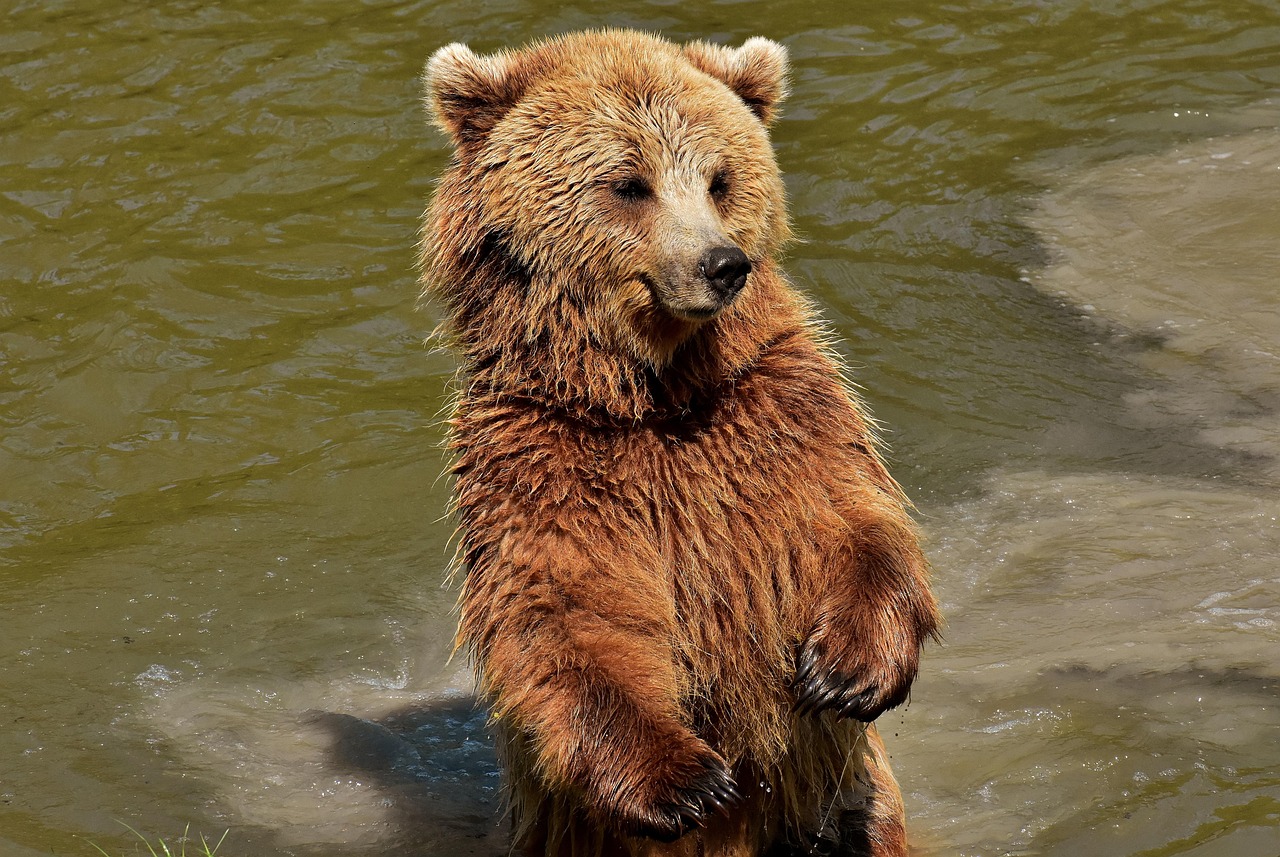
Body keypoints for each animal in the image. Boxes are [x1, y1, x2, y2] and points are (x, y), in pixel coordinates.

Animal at [418, 29, 940, 857]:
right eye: (630, 183)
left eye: (721, 178)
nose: (722, 263)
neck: (656, 394)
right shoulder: (544, 458)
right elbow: (571, 612)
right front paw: (687, 780)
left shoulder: (778, 410)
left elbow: (852, 519)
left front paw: (845, 668)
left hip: (847, 807)